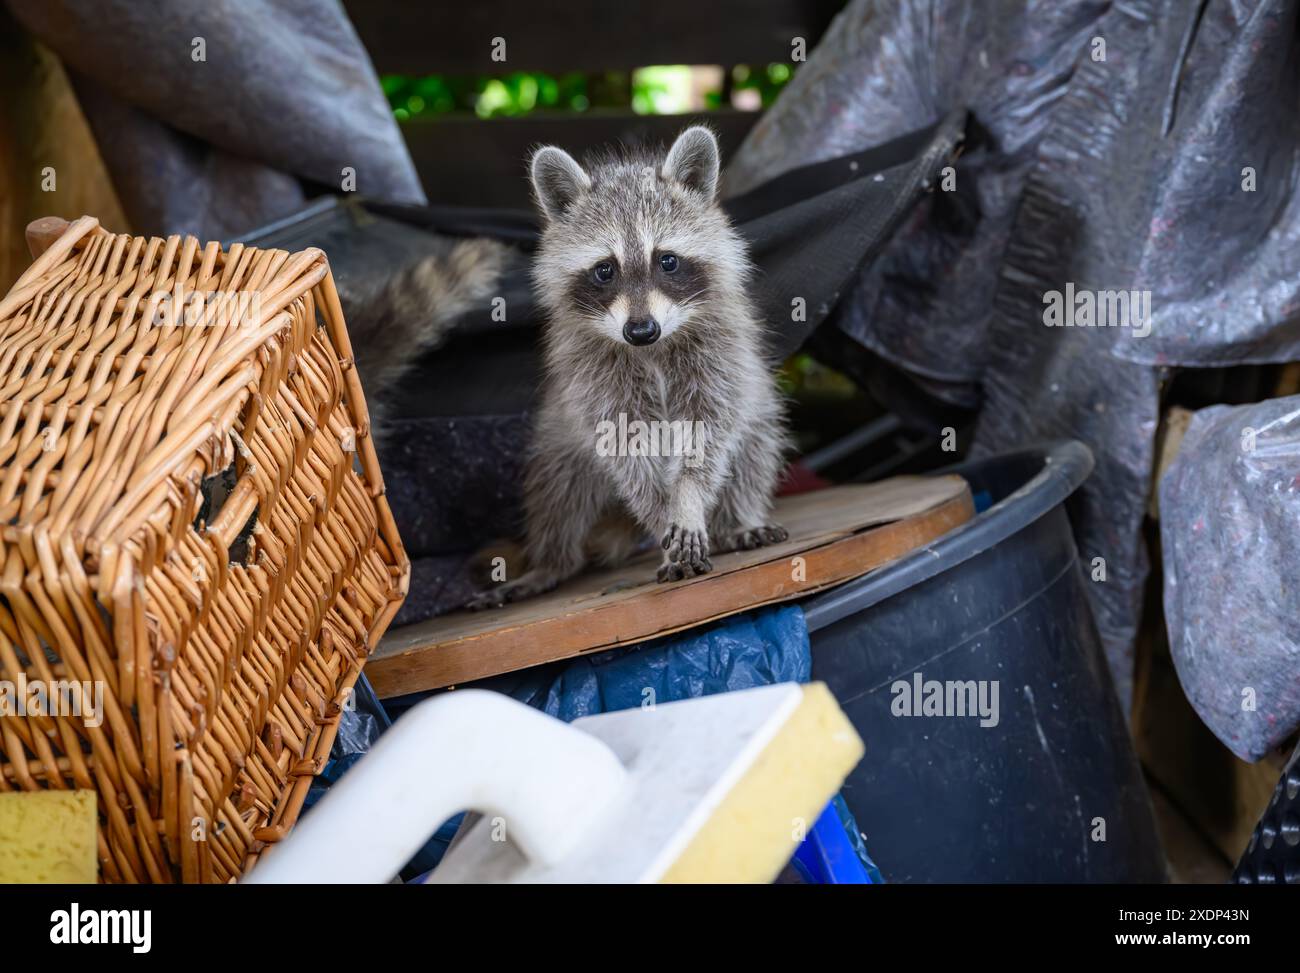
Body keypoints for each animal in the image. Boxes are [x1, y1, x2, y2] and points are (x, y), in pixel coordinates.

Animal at [470, 126, 789, 608]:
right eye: (605, 270)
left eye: (667, 260)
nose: (641, 330)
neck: (651, 351)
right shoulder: (594, 377)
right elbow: (626, 451)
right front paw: (662, 513)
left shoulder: (719, 356)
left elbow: (709, 432)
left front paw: (687, 500)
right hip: (558, 440)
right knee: (558, 494)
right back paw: (552, 562)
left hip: (755, 401)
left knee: (753, 446)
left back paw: (736, 522)